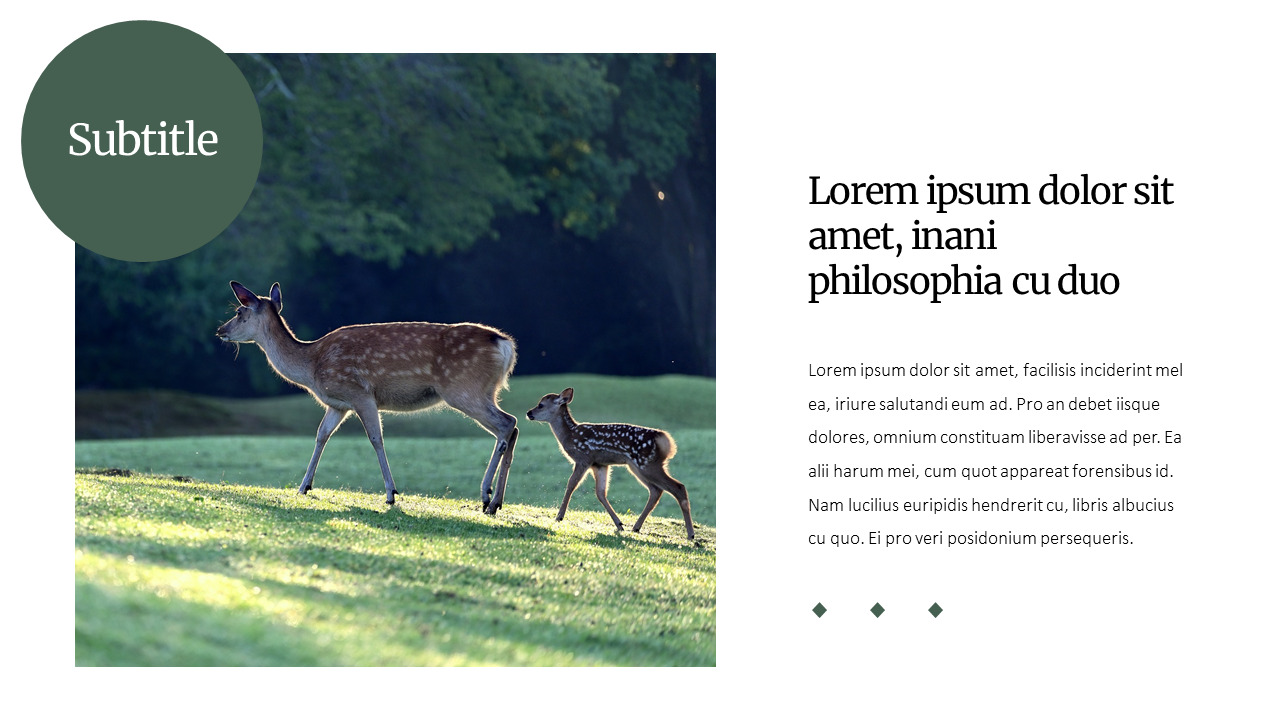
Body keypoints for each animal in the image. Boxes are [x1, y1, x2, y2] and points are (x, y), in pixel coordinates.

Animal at [215, 281, 518, 514]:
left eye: (239, 312)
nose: (220, 331)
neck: (312, 366)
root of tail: (505, 345)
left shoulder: (360, 394)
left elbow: (375, 438)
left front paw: (391, 493)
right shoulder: (338, 405)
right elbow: (321, 435)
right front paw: (303, 487)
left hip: (463, 389)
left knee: (506, 424)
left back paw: (486, 495)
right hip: (484, 391)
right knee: (512, 426)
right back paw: (496, 502)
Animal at [526, 387, 694, 540]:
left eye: (541, 404)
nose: (529, 413)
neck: (570, 436)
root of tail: (665, 441)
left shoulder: (583, 458)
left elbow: (571, 484)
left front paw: (559, 516)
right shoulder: (600, 464)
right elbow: (600, 493)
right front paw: (619, 524)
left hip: (647, 464)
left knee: (678, 487)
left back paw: (690, 534)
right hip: (637, 466)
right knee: (656, 490)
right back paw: (636, 527)